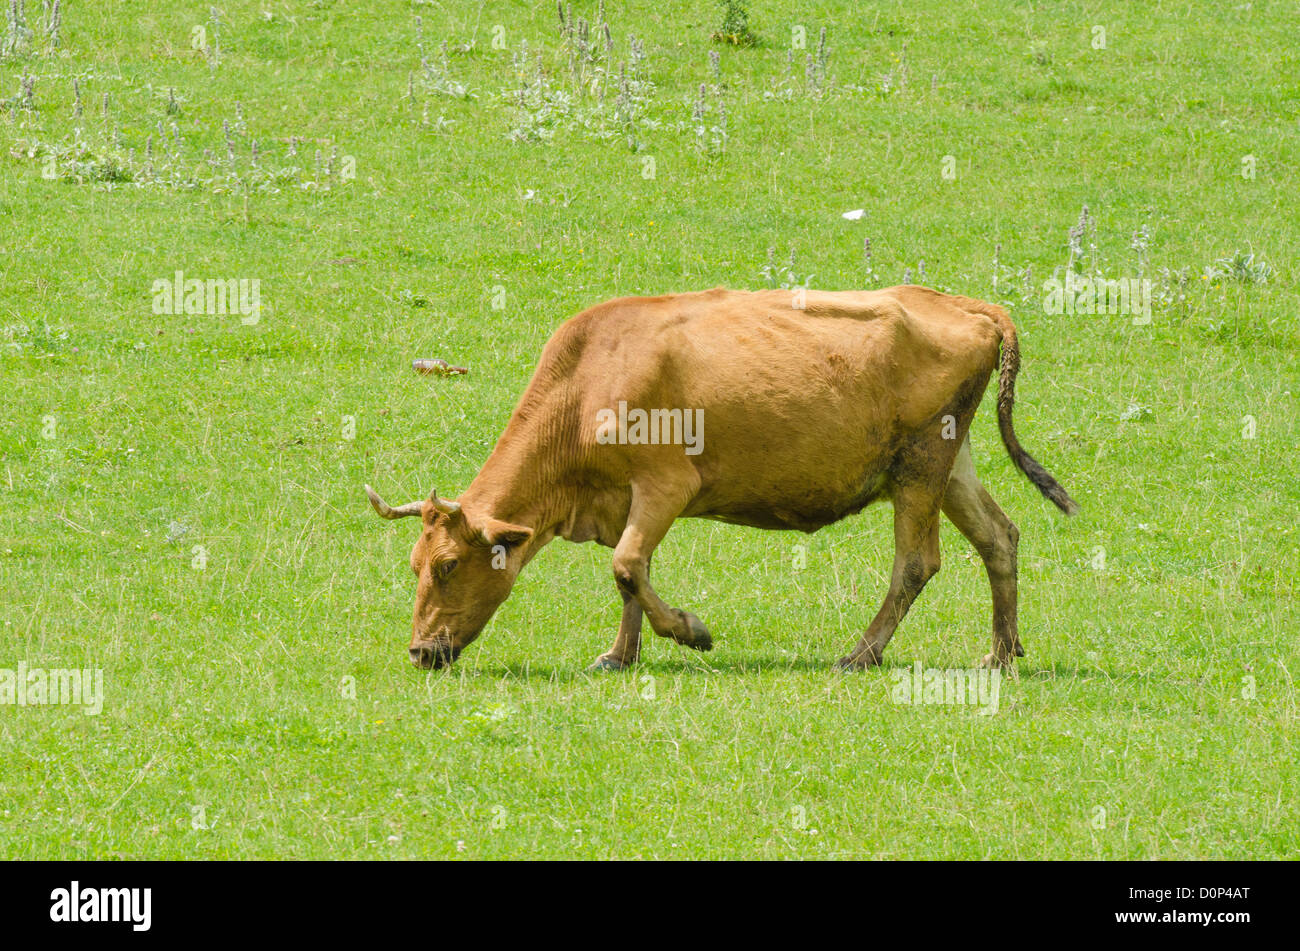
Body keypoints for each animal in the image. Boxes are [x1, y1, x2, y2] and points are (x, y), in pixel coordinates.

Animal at [365, 286, 1078, 673]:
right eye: (415, 563)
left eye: (449, 565)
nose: (420, 652)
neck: (587, 380)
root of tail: (970, 306)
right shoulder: (625, 500)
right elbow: (630, 575)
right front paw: (619, 655)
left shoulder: (665, 485)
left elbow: (627, 566)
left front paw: (690, 631)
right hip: (948, 463)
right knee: (999, 538)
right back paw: (999, 653)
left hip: (922, 466)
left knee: (917, 561)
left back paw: (861, 653)